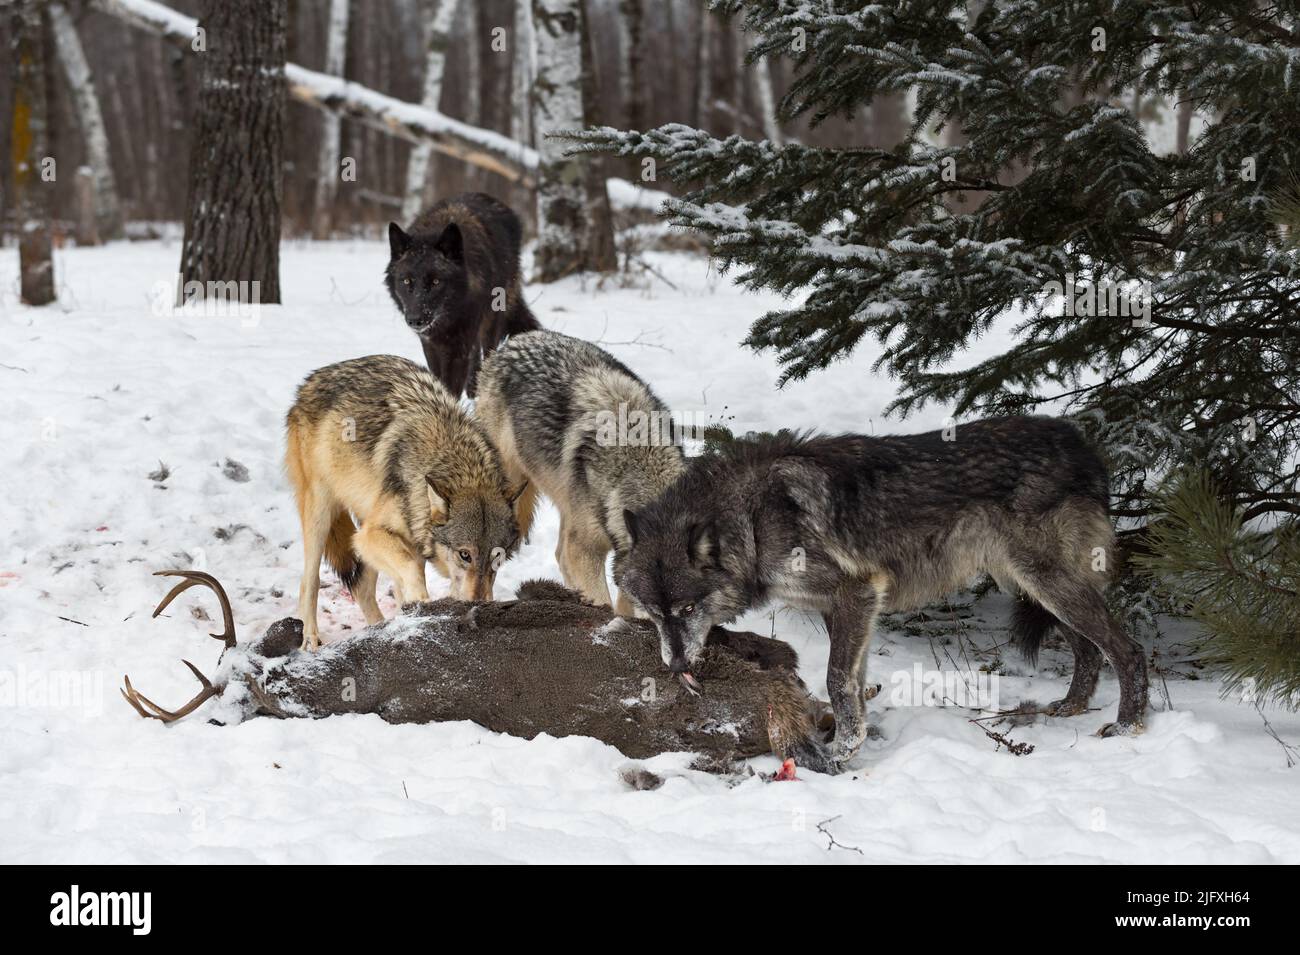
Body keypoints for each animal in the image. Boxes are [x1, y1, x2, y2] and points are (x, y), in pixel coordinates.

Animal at [285, 355, 526, 649]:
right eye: (465, 555)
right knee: (310, 581)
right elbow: (412, 573)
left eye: (498, 557)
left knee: (363, 587)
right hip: (322, 514)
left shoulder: (404, 539)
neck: (459, 465)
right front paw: (420, 602)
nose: (479, 604)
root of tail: (313, 378)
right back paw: (310, 637)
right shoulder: (370, 535)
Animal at [386, 192, 540, 397]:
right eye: (406, 281)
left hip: (491, 321)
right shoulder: (431, 344)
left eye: (436, 282)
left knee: (487, 350)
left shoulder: (458, 347)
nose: (415, 320)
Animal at [616, 417, 1149, 767]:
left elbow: (836, 679)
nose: (676, 667)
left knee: (1126, 648)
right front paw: (852, 741)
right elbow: (852, 684)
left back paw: (1127, 725)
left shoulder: (857, 593)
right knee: (1089, 649)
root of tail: (1084, 445)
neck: (752, 520)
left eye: (689, 607)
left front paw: (841, 751)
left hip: (1047, 584)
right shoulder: (840, 608)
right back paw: (1071, 707)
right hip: (1037, 588)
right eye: (655, 614)